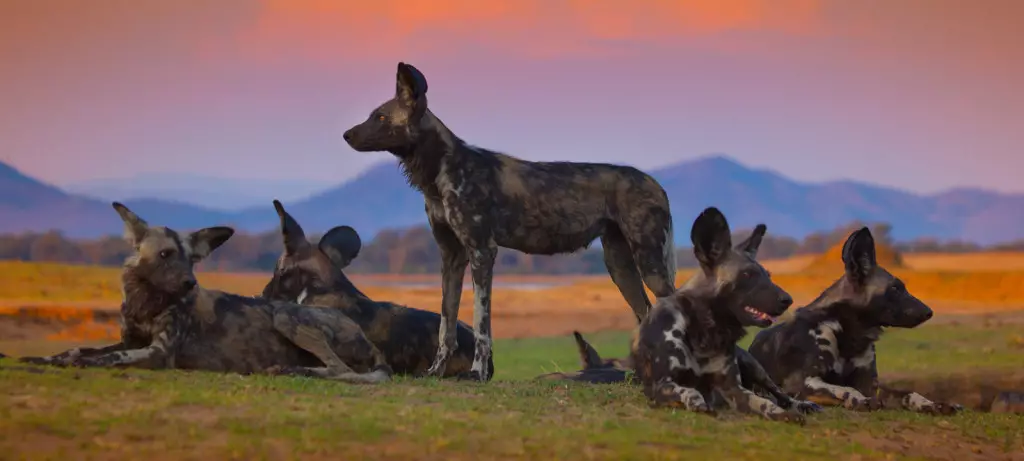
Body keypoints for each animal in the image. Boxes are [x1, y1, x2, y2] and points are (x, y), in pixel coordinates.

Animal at [19, 203, 395, 383]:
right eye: (165, 254)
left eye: (192, 260)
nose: (190, 283)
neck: (146, 302)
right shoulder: (130, 341)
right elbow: (79, 348)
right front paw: (46, 359)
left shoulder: (157, 353)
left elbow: (107, 357)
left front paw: (81, 362)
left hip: (285, 315)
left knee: (339, 369)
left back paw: (292, 370)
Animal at [344, 61, 679, 381]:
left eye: (381, 118)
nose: (346, 134)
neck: (442, 170)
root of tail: (656, 183)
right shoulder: (451, 257)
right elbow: (446, 325)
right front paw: (436, 372)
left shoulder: (482, 252)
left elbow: (482, 326)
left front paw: (477, 374)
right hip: (620, 267)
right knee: (646, 314)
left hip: (649, 266)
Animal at [626, 206, 819, 424]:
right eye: (747, 275)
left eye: (768, 276)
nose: (788, 300)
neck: (705, 328)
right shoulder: (661, 385)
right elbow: (689, 391)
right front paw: (697, 402)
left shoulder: (733, 388)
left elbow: (765, 403)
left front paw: (783, 414)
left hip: (755, 368)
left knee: (779, 394)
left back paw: (802, 405)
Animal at [749, 226, 962, 413]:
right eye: (895, 288)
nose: (929, 312)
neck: (850, 334)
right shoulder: (804, 382)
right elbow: (844, 389)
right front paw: (859, 400)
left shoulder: (871, 385)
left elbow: (907, 393)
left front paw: (933, 404)